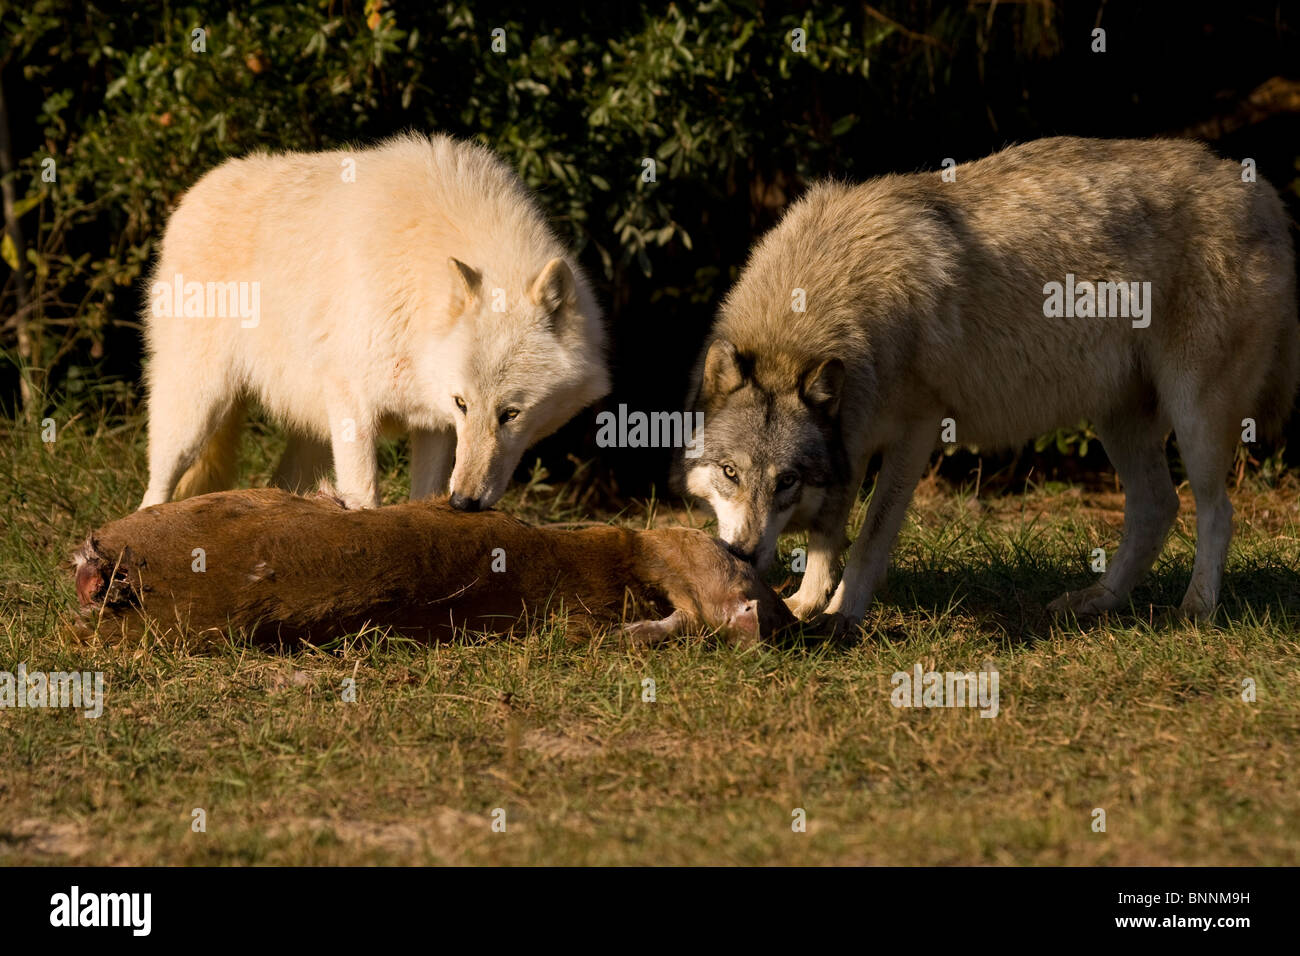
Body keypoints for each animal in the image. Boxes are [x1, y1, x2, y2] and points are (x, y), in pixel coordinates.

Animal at [140, 133, 609, 511]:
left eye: (510, 414)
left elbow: (423, 493)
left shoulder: (433, 423)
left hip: (309, 431)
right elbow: (364, 499)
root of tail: (197, 190)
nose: (464, 502)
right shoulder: (355, 403)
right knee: (155, 487)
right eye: (464, 404)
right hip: (195, 410)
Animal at [675, 137, 1298, 632]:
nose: (742, 554)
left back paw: (1197, 608)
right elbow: (828, 537)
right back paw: (1099, 600)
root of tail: (1260, 189)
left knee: (1216, 511)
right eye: (730, 473)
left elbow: (870, 536)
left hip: (1195, 418)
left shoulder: (916, 431)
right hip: (1117, 421)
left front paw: (843, 615)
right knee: (1157, 508)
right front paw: (806, 603)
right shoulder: (848, 440)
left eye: (786, 481)